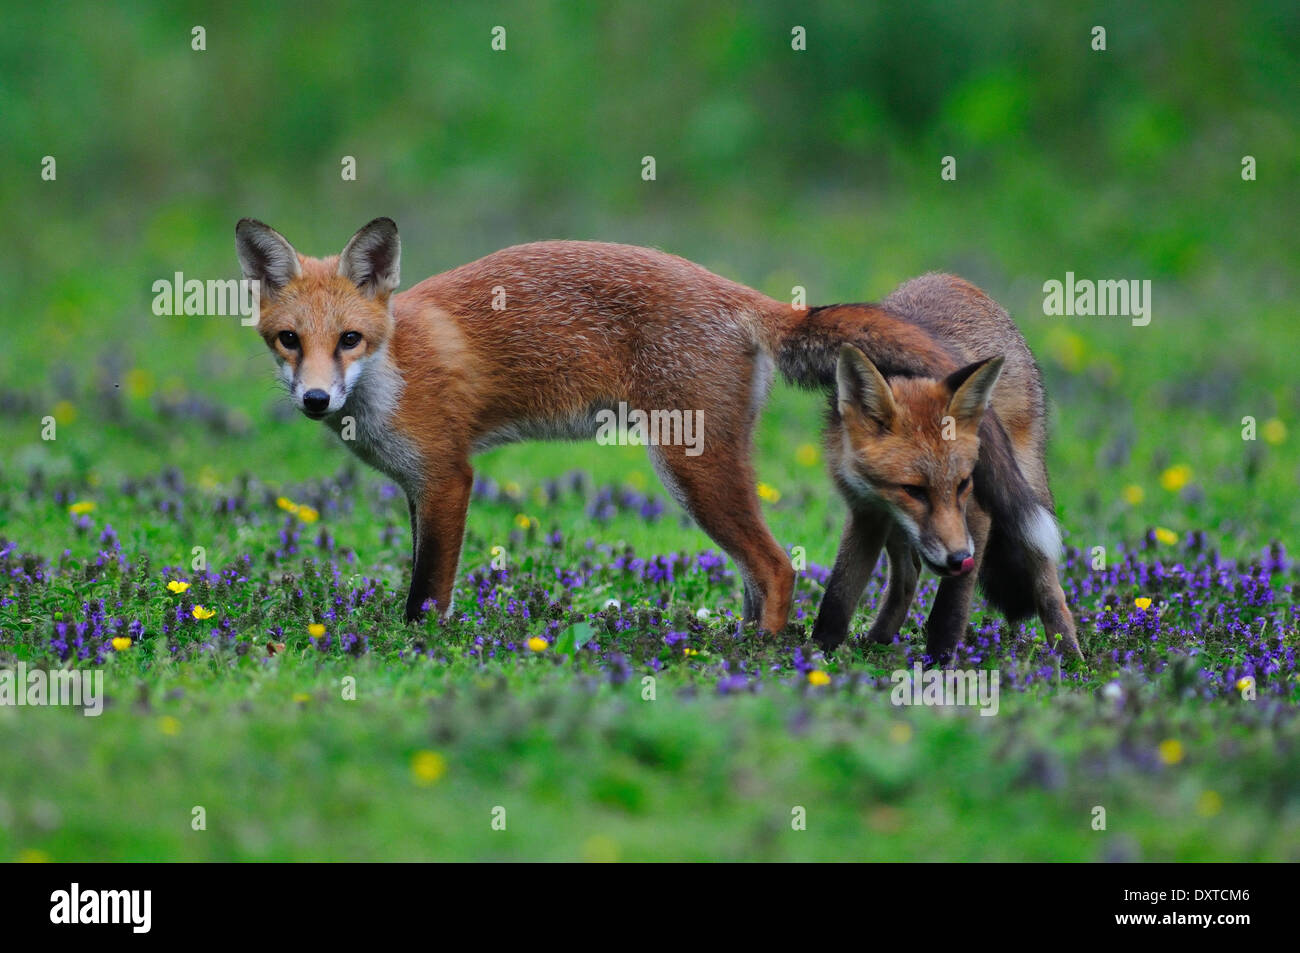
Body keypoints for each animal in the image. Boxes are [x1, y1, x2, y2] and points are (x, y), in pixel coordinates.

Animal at [235, 217, 1047, 637]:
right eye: (288, 341)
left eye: (349, 339)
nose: (315, 399)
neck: (392, 366)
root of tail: (743, 296)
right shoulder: (416, 489)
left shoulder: (448, 478)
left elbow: (426, 594)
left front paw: (419, 651)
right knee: (757, 573)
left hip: (692, 469)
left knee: (778, 566)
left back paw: (761, 661)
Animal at [802, 275, 1080, 661]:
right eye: (912, 490)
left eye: (963, 484)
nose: (959, 557)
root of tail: (951, 279)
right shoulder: (866, 511)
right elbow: (839, 594)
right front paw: (818, 655)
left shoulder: (977, 512)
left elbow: (951, 607)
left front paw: (940, 663)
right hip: (901, 532)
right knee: (907, 577)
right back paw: (878, 641)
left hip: (1026, 495)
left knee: (1050, 589)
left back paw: (1071, 658)